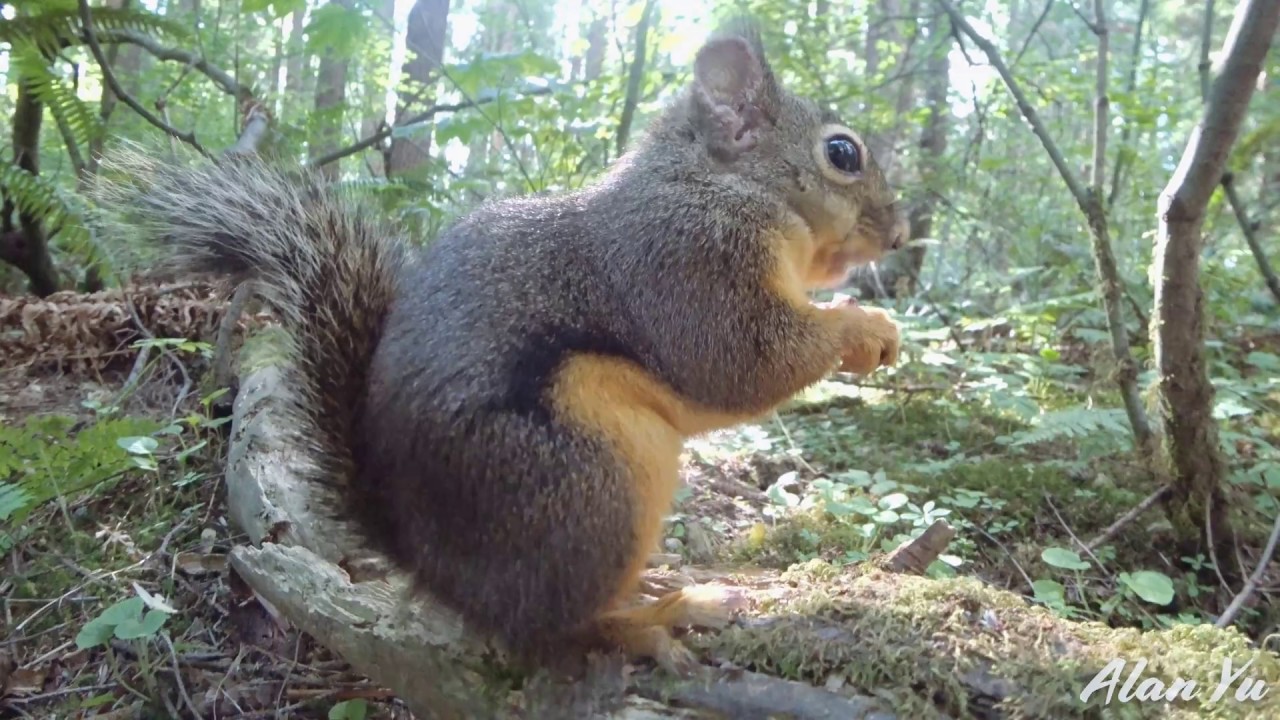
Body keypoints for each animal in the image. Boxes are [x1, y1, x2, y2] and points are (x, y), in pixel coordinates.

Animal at [92, 20, 907, 677]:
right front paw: (863, 328)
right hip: (591, 481)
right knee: (559, 626)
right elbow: (741, 358)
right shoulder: (689, 260)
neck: (722, 181)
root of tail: (436, 570)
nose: (900, 235)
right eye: (842, 152)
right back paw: (655, 617)